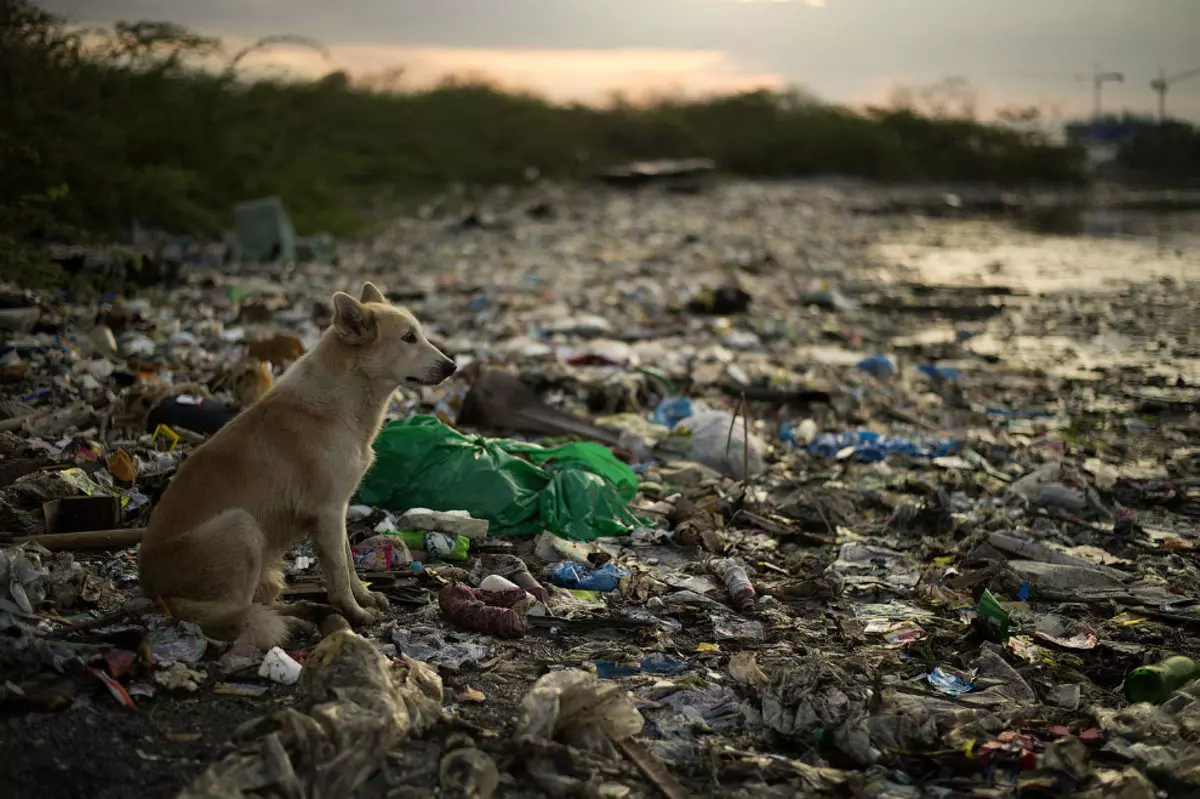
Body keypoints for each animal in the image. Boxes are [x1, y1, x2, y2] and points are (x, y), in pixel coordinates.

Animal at [138, 283, 456, 643]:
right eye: (408, 338)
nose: (452, 367)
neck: (343, 399)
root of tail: (151, 589)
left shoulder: (338, 511)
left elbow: (348, 563)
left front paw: (363, 597)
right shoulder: (328, 512)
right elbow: (339, 574)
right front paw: (355, 613)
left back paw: (303, 613)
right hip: (241, 528)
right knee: (233, 615)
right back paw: (292, 621)